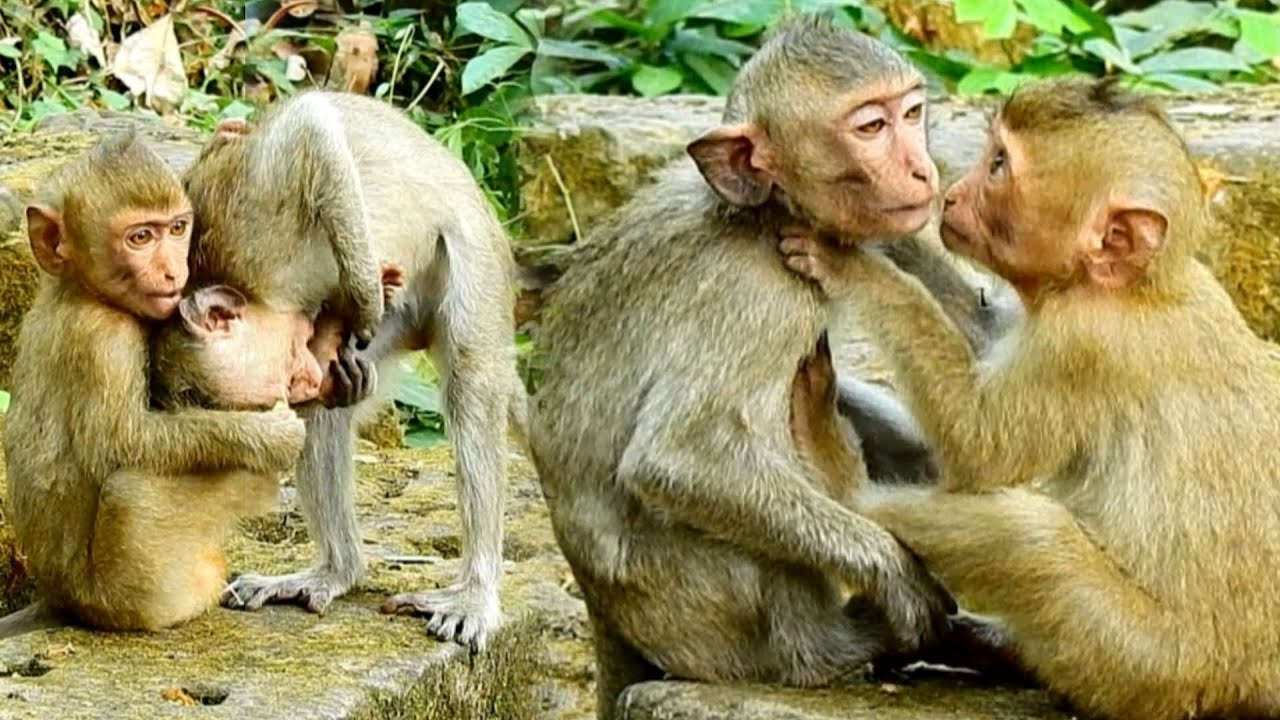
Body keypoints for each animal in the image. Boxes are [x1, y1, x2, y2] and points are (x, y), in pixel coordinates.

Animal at [0, 133, 308, 639]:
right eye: (140, 237)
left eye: (177, 228)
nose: (172, 272)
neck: (81, 292)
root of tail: (58, 599)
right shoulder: (104, 339)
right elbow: (125, 440)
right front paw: (270, 435)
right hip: (130, 588)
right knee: (135, 488)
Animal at [149, 90, 527, 650]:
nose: (304, 380)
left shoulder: (254, 217)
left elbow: (314, 131)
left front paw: (366, 297)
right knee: (326, 416)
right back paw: (338, 570)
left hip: (474, 259)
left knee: (470, 384)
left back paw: (475, 594)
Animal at [526, 16, 977, 718]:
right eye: (871, 127)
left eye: (911, 113)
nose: (922, 168)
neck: (764, 215)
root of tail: (606, 615)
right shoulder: (761, 296)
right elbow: (678, 457)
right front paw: (896, 574)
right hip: (703, 617)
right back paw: (830, 646)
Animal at [778, 77, 1280, 720]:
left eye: (998, 166)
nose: (951, 196)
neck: (1139, 287)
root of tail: (1251, 682)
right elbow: (986, 327)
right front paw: (891, 234)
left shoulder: (1082, 346)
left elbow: (980, 446)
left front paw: (851, 265)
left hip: (1159, 667)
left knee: (1033, 536)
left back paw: (838, 476)